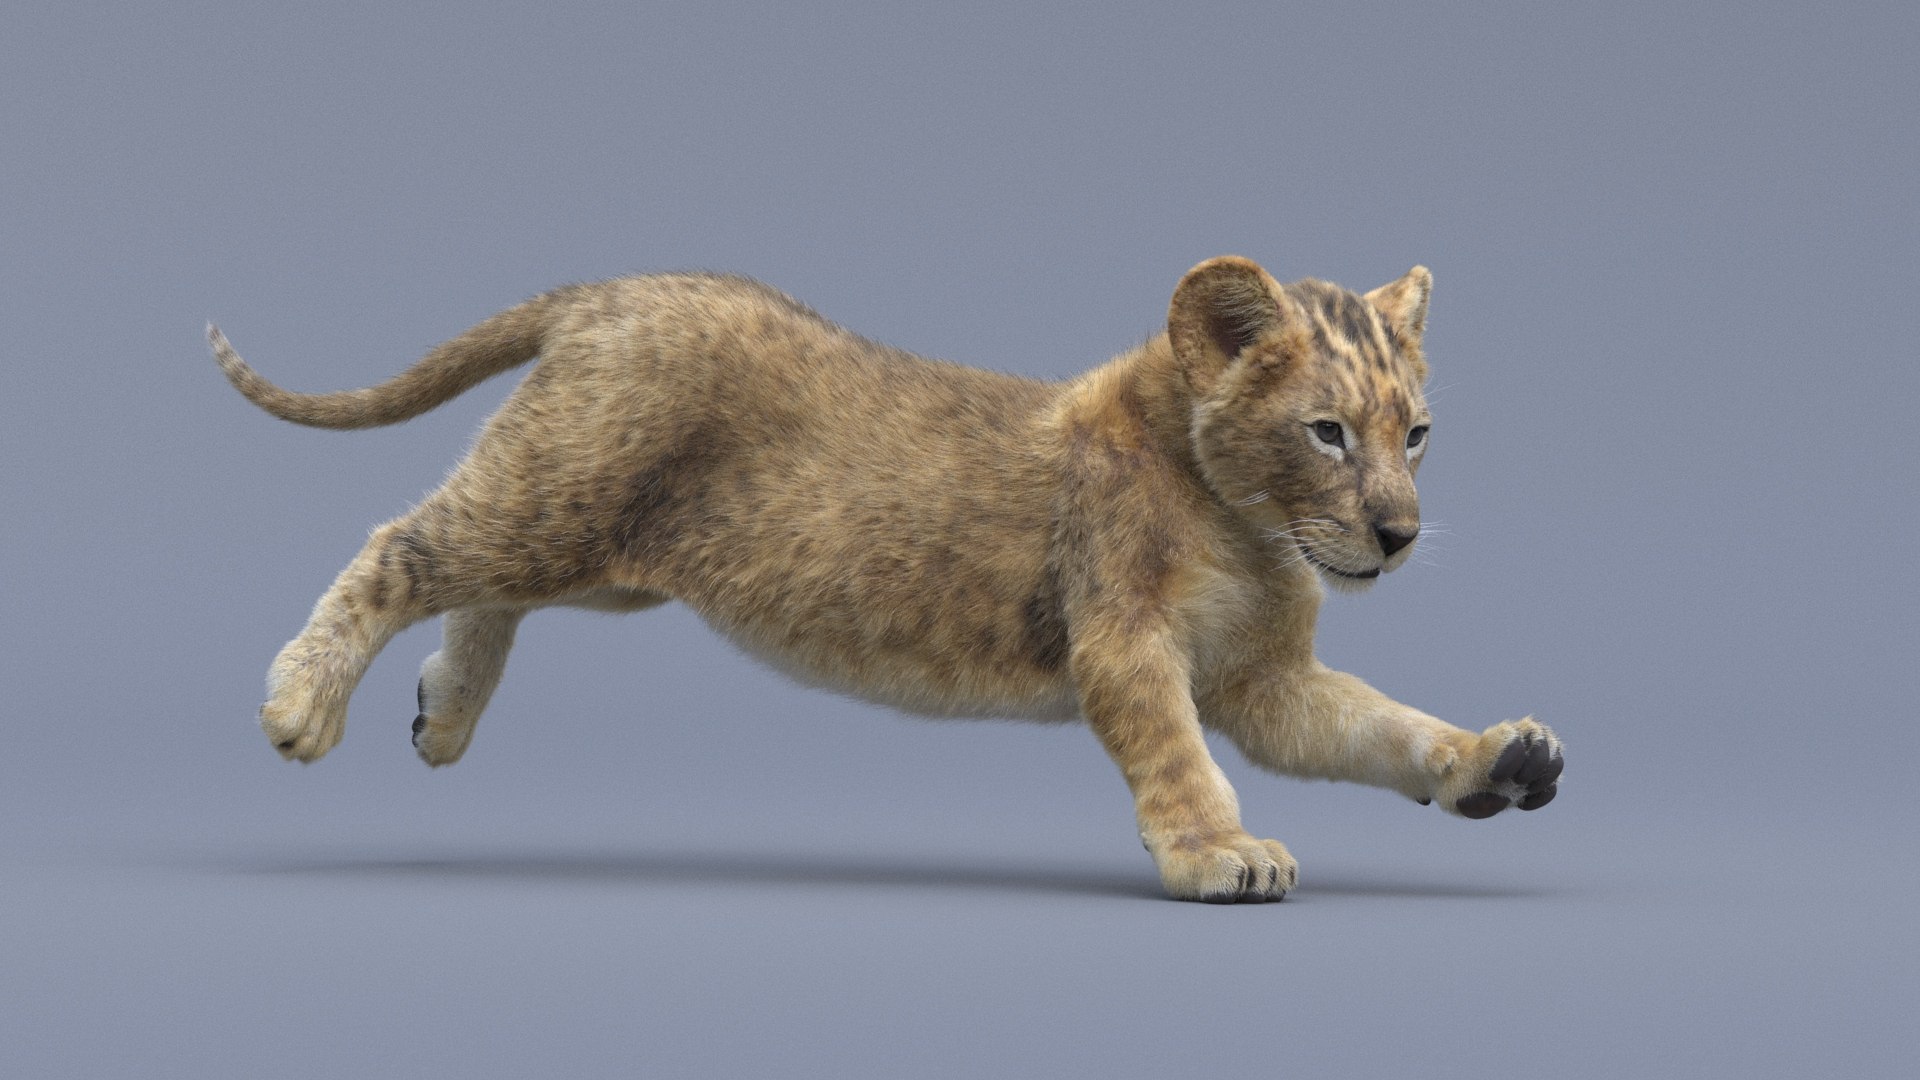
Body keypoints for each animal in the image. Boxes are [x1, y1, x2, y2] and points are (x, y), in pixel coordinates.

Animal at [210, 255, 1562, 902]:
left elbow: (1379, 728)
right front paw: (1219, 856)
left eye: (1416, 434)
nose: (1398, 534)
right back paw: (300, 705)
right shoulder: (1124, 640)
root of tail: (607, 292)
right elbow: (1184, 758)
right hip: (563, 500)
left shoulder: (1264, 679)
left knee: (488, 583)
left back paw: (443, 716)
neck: (1254, 526)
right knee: (405, 547)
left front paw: (1499, 759)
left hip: (608, 551)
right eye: (1327, 433)